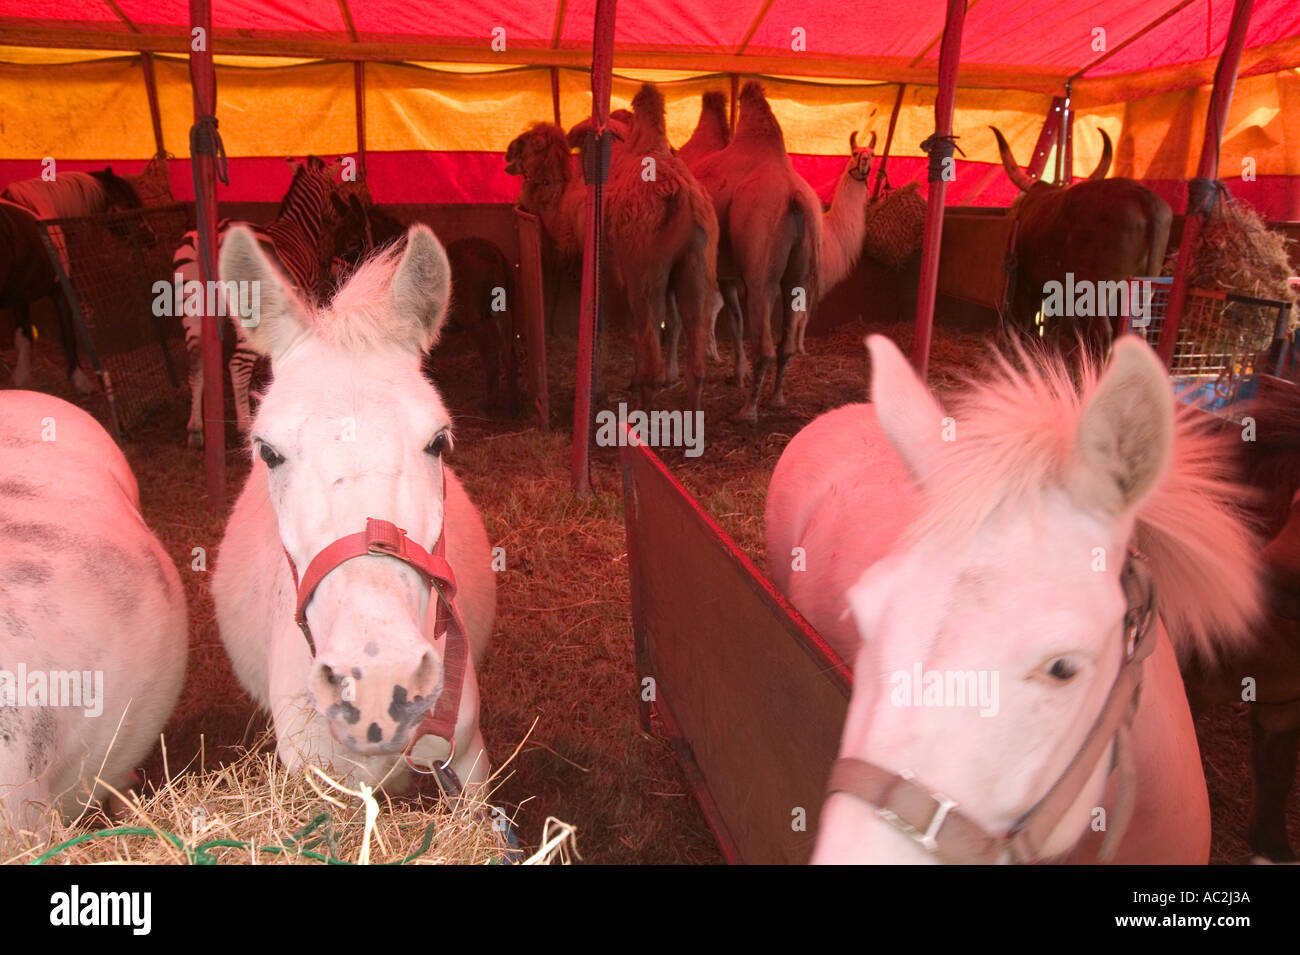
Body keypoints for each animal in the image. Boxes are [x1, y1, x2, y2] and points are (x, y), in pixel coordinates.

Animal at [2, 168, 143, 394]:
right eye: (129, 203)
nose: (151, 237)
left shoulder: (20, 296)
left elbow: (23, 336)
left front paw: (21, 378)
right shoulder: (61, 288)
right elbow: (68, 333)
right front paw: (80, 380)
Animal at [175, 156, 346, 448]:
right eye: (333, 191)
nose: (338, 218)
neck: (299, 228)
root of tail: (210, 237)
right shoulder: (308, 293)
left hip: (191, 311)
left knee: (196, 363)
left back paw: (195, 429)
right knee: (238, 365)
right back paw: (244, 425)